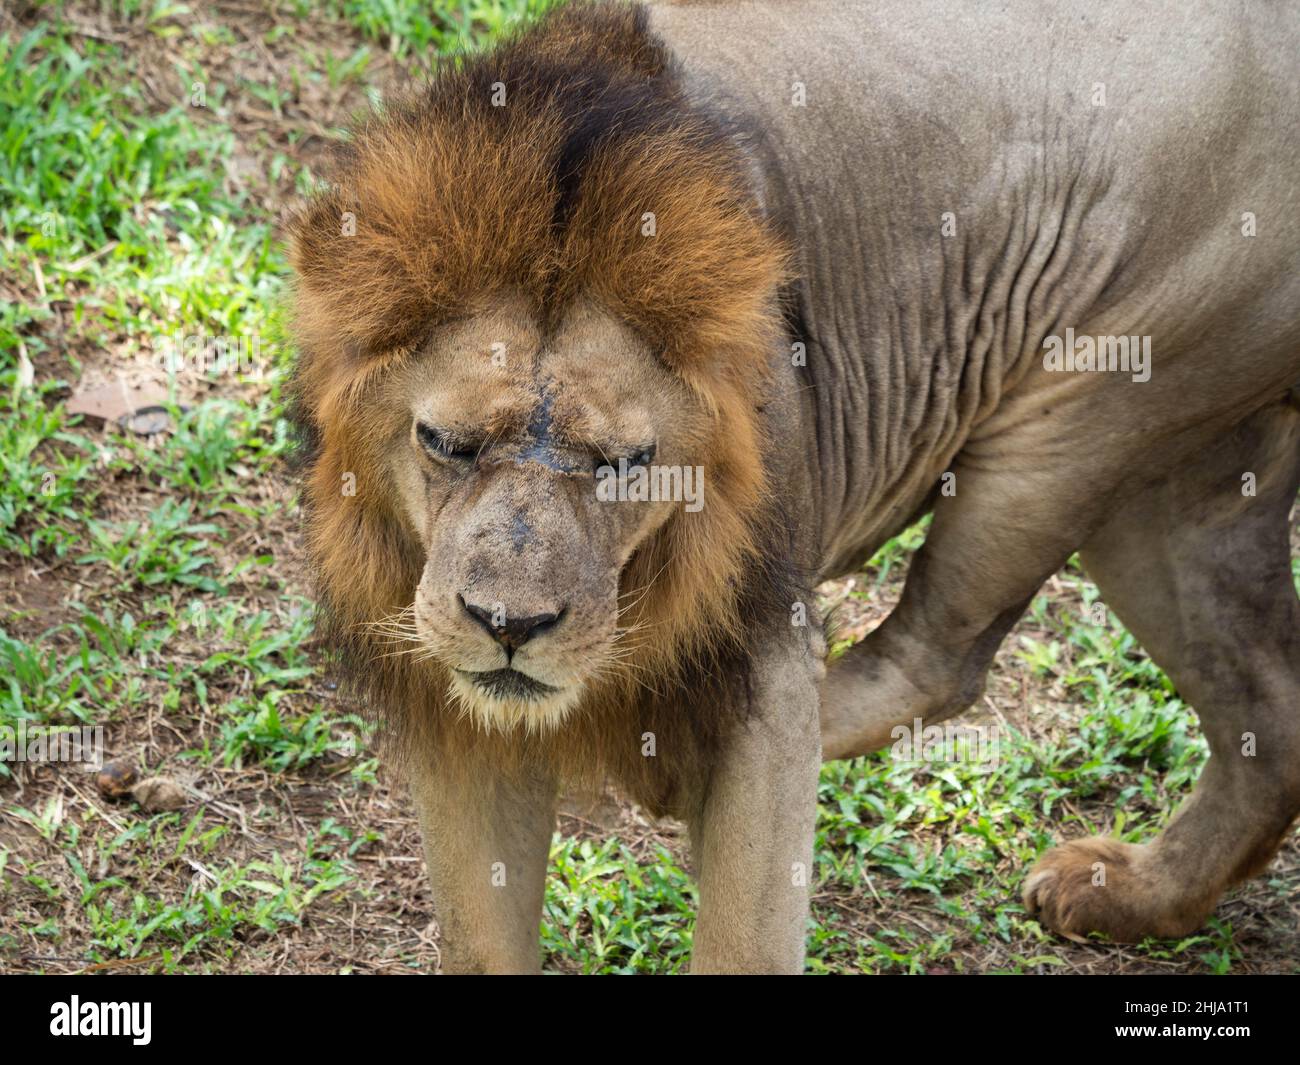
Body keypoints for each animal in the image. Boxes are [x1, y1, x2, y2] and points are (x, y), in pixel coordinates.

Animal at [287, 0, 1300, 972]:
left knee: (933, 661)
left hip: (1082, 404)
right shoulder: (461, 715)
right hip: (1176, 493)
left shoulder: (762, 663)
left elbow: (748, 925)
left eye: (626, 463)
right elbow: (482, 937)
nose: (509, 624)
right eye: (443, 442)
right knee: (1271, 715)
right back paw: (1133, 895)